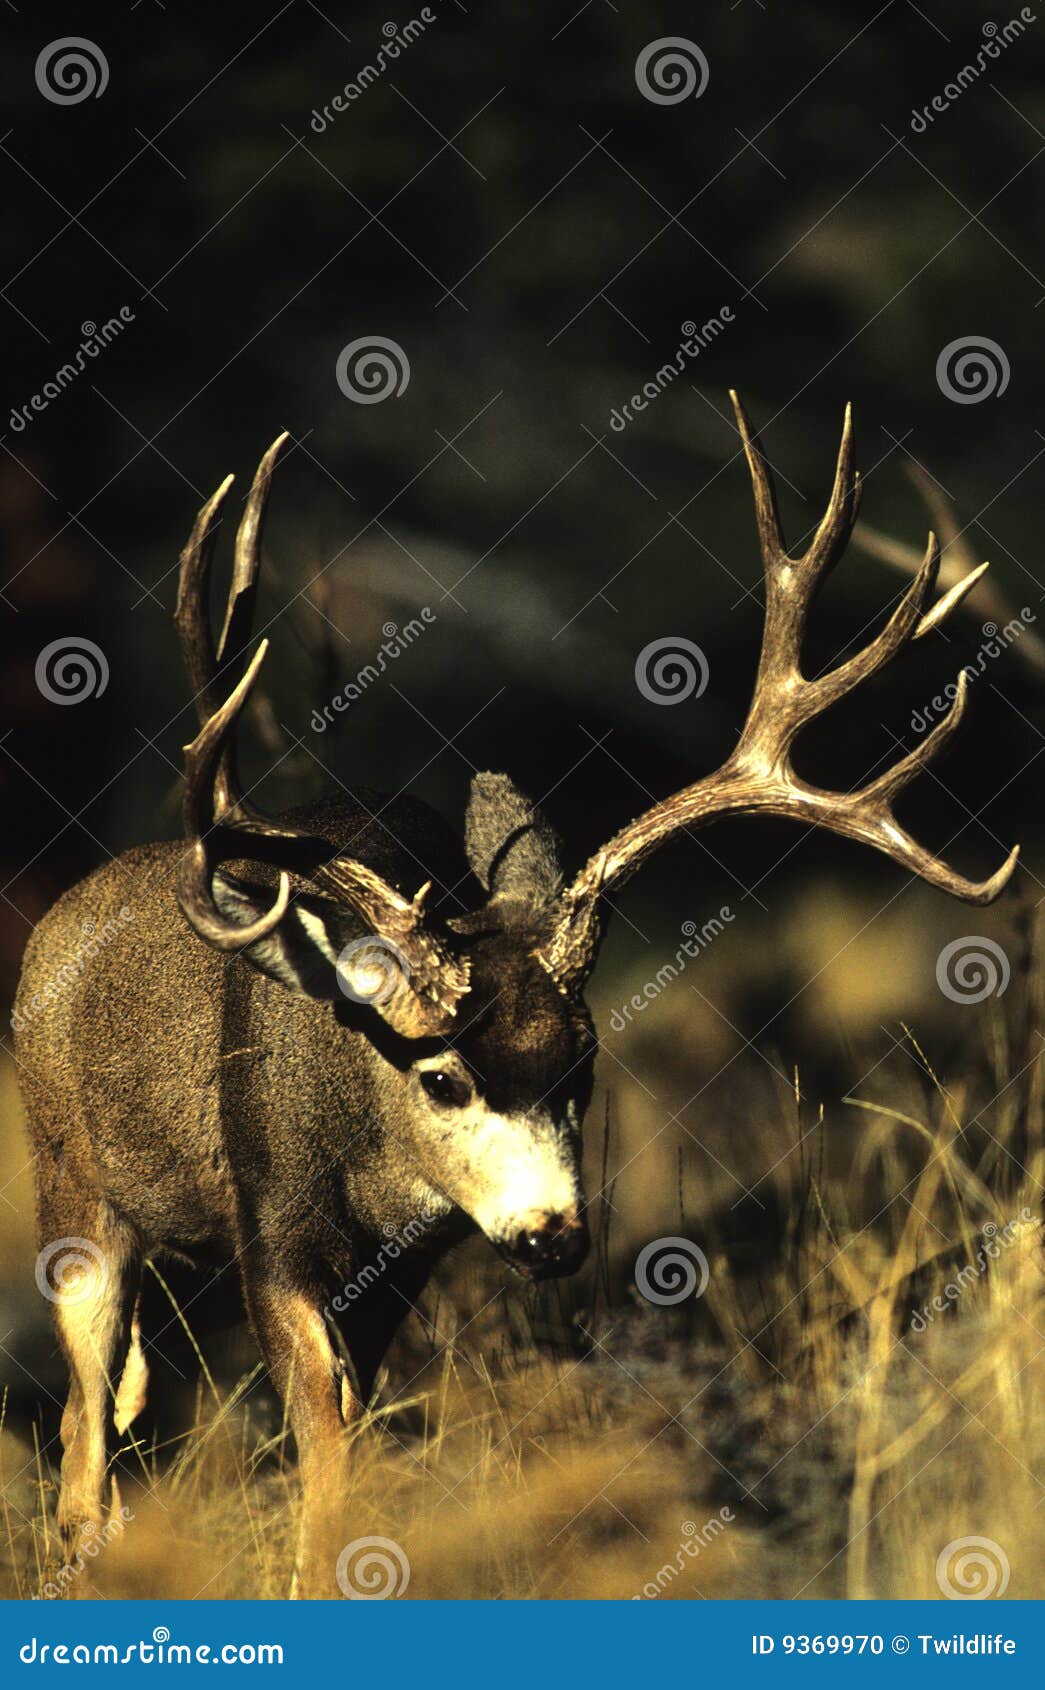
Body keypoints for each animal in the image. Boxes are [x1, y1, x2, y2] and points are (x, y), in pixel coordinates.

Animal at [14, 393, 1018, 1586]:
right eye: (443, 1077)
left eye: (582, 1065)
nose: (553, 1235)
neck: (367, 1134)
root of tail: (57, 928)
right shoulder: (274, 1220)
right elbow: (323, 1446)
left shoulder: (402, 1262)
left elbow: (351, 1429)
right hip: (73, 1190)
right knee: (80, 1448)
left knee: (102, 1418)